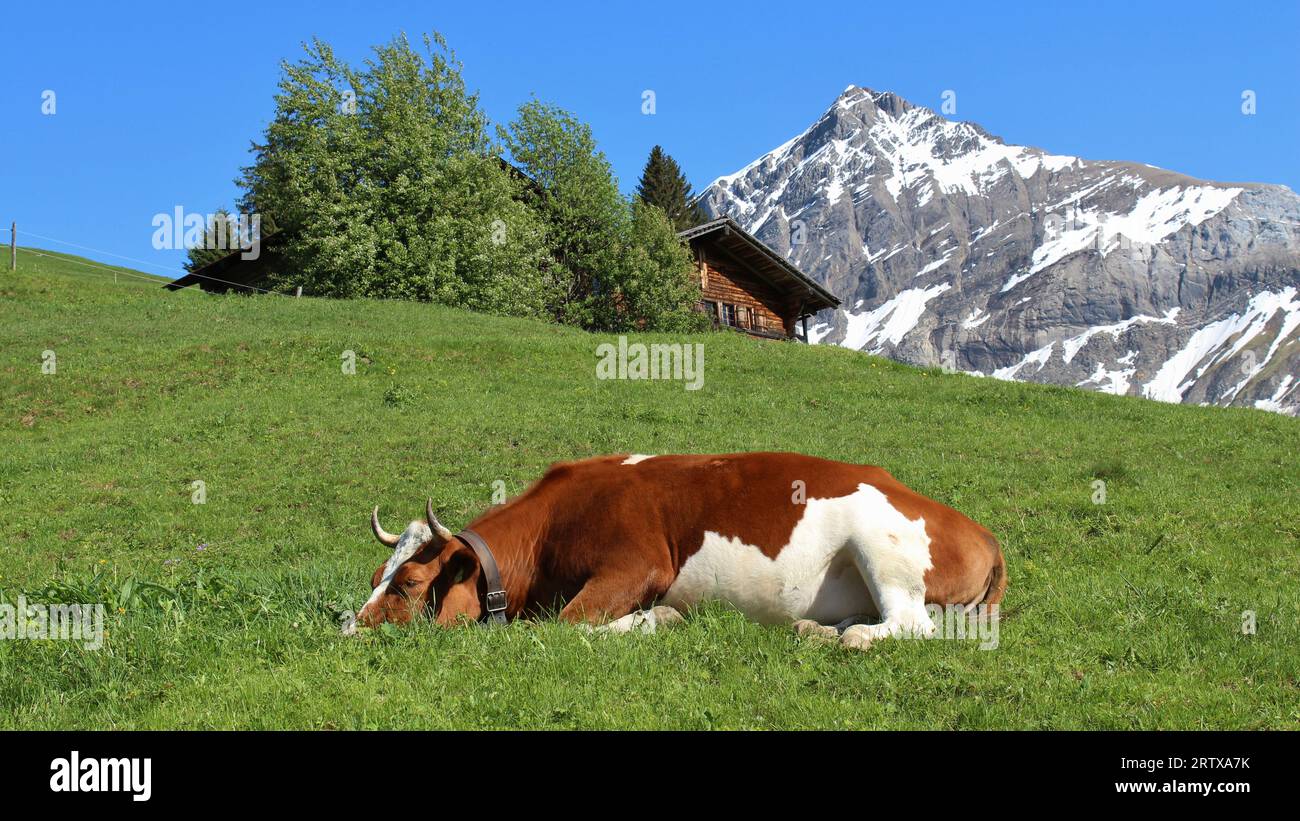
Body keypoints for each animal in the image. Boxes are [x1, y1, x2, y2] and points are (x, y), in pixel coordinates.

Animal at [343, 452, 1005, 650]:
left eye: (408, 584)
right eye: (376, 573)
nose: (349, 628)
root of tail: (983, 532)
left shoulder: (638, 563)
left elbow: (565, 624)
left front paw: (654, 619)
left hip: (882, 547)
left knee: (910, 624)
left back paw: (853, 636)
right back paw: (817, 629)